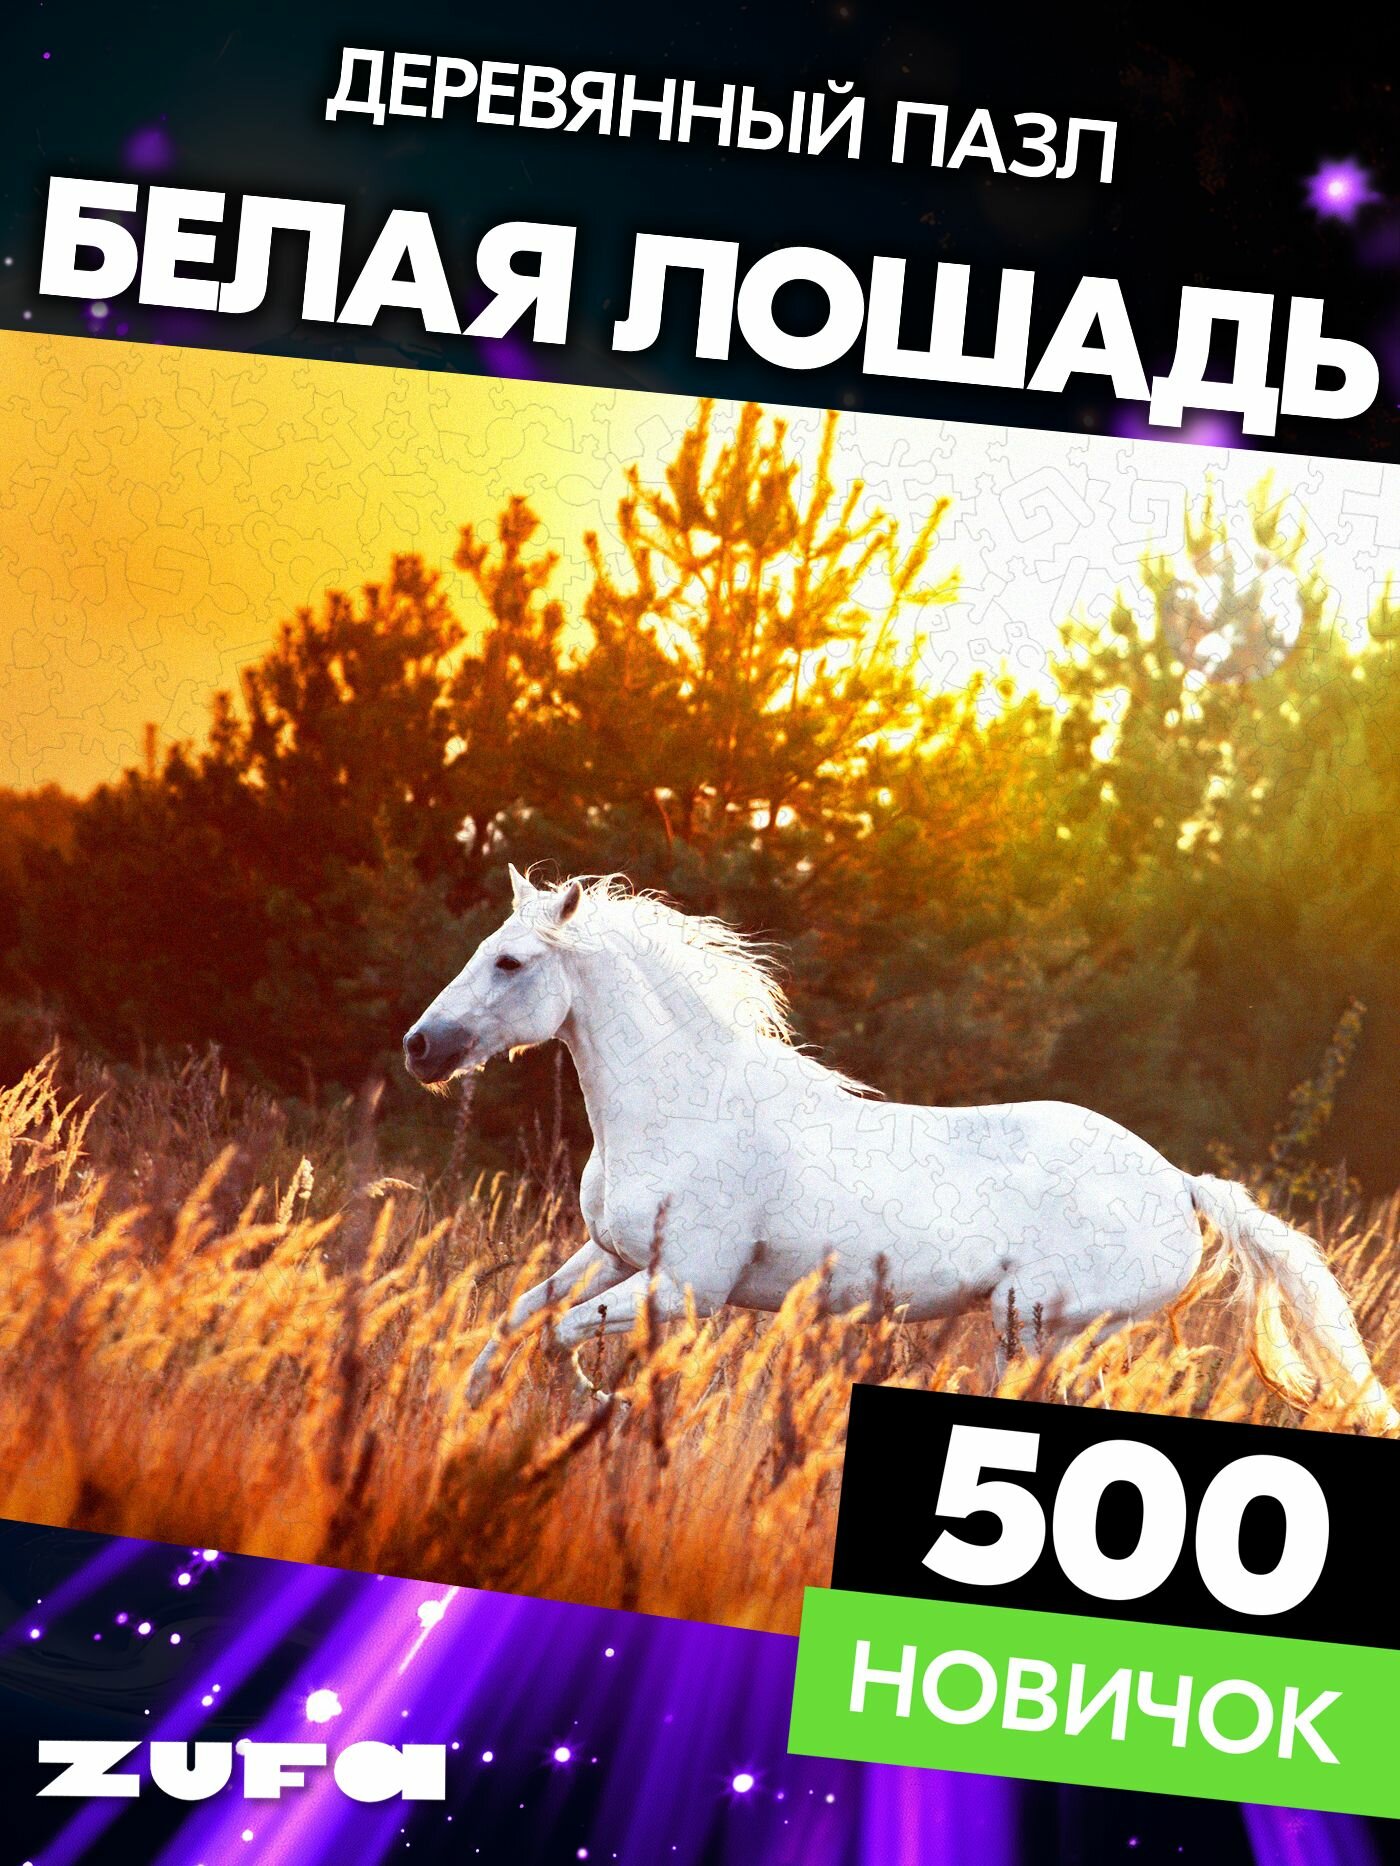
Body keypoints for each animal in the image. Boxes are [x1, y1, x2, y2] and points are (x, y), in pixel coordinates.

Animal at [403, 866, 1398, 1431]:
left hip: (1047, 1328)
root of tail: (1181, 1184)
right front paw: (465, 1407)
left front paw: (601, 1406)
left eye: (510, 963)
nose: (420, 1048)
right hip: (1028, 1336)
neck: (685, 1105)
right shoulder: (611, 1254)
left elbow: (561, 1335)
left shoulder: (688, 1287)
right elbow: (518, 1316)